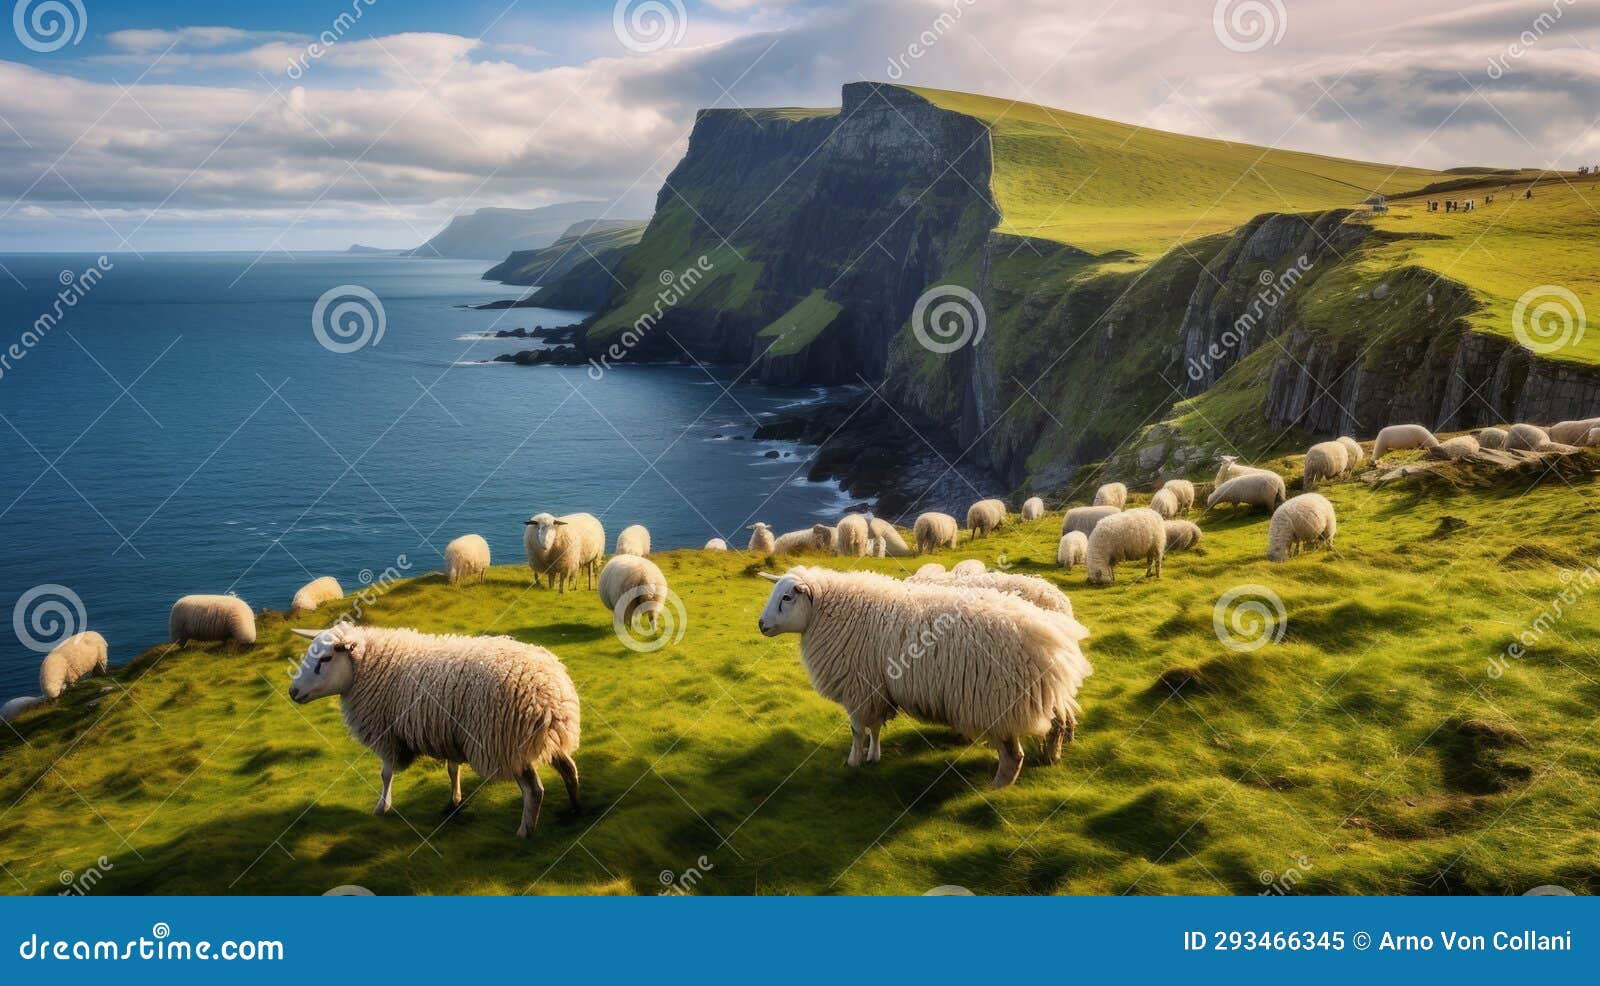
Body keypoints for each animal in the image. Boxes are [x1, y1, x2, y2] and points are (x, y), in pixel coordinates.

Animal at [288, 625, 580, 839]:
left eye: (325, 658)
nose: (292, 691)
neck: (369, 669)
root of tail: (550, 689)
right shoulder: (449, 733)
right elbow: (452, 769)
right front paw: (455, 799)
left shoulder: (387, 734)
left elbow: (385, 774)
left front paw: (382, 807)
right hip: (541, 738)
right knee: (569, 768)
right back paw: (574, 807)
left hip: (504, 742)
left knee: (534, 790)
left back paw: (524, 832)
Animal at [756, 567, 1092, 787]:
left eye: (787, 597)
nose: (761, 624)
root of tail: (1052, 632)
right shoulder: (877, 688)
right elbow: (875, 727)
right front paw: (873, 757)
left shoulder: (859, 688)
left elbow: (857, 730)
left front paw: (853, 761)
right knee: (1057, 723)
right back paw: (1051, 755)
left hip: (996, 703)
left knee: (1013, 755)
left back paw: (997, 788)